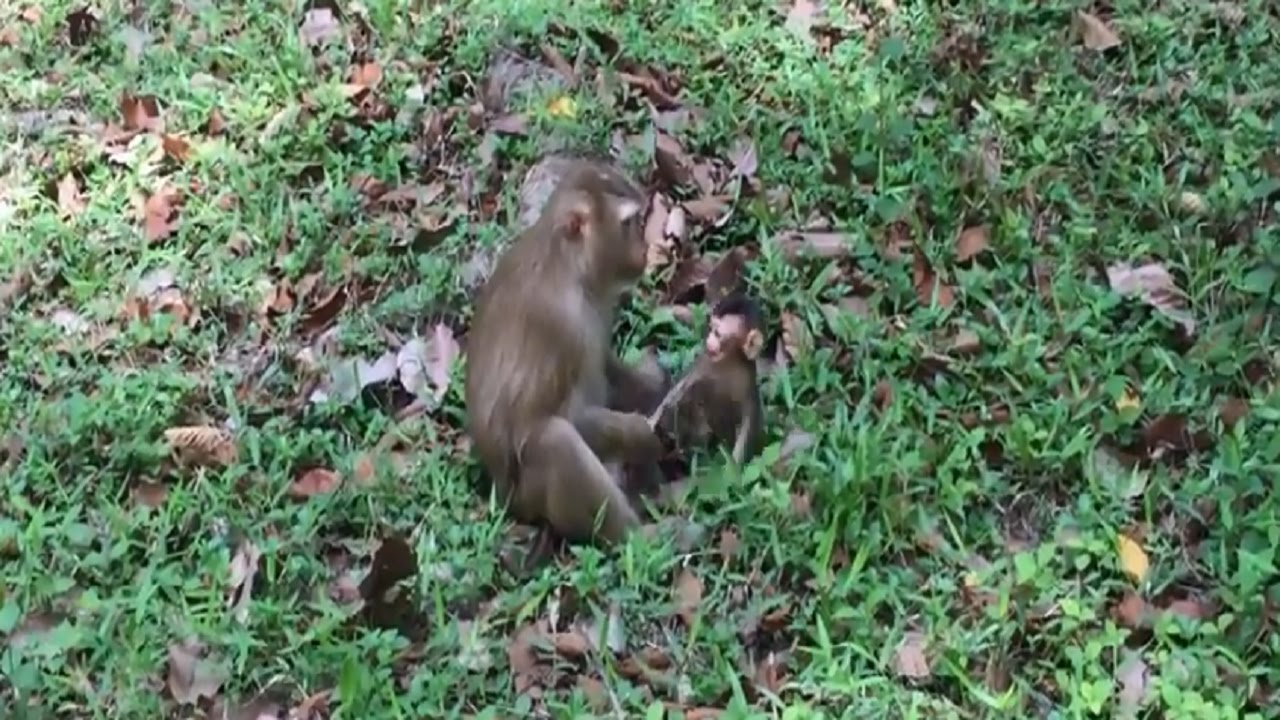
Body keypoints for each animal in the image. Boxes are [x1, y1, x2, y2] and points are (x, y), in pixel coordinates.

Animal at [464, 159, 667, 547]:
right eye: (628, 223)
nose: (645, 250)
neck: (568, 267)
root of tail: (505, 499)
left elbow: (604, 364)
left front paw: (656, 388)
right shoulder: (561, 327)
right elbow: (547, 420)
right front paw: (638, 432)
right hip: (534, 494)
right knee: (555, 440)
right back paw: (640, 538)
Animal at [648, 292, 766, 466]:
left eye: (717, 334)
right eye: (711, 328)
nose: (709, 339)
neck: (729, 362)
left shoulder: (747, 379)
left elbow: (748, 421)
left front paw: (733, 469)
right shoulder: (706, 361)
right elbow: (682, 386)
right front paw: (652, 421)